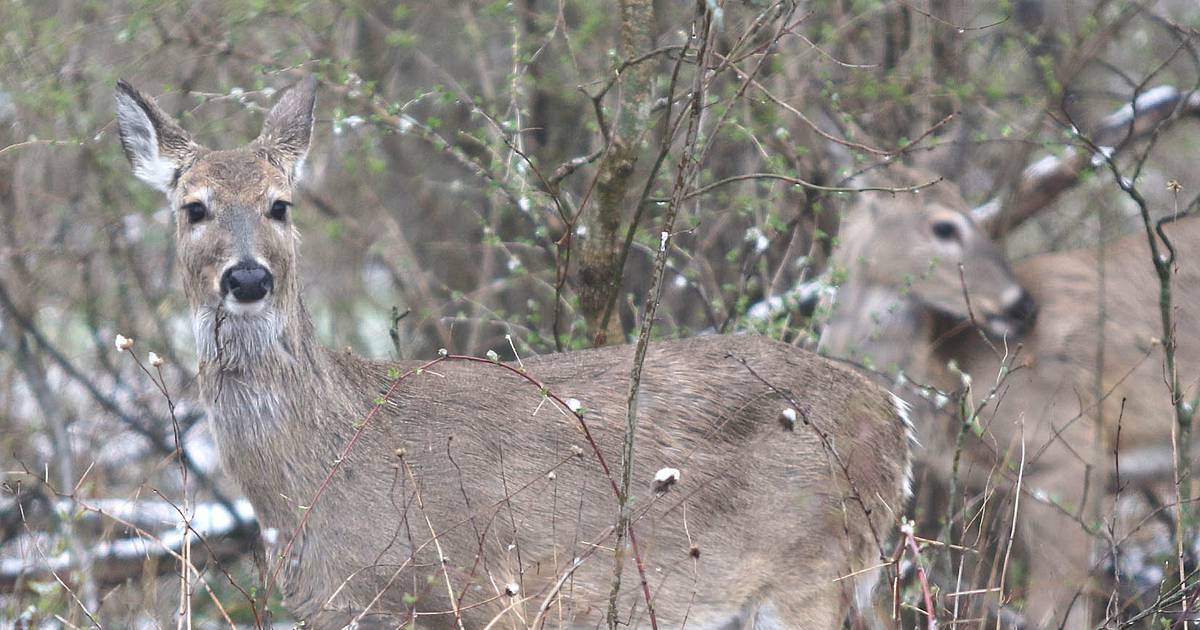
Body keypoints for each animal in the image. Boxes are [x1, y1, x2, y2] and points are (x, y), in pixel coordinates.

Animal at [114, 77, 914, 629]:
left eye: (280, 204)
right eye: (193, 207)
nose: (248, 277)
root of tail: (895, 415)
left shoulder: (480, 592)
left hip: (810, 572)